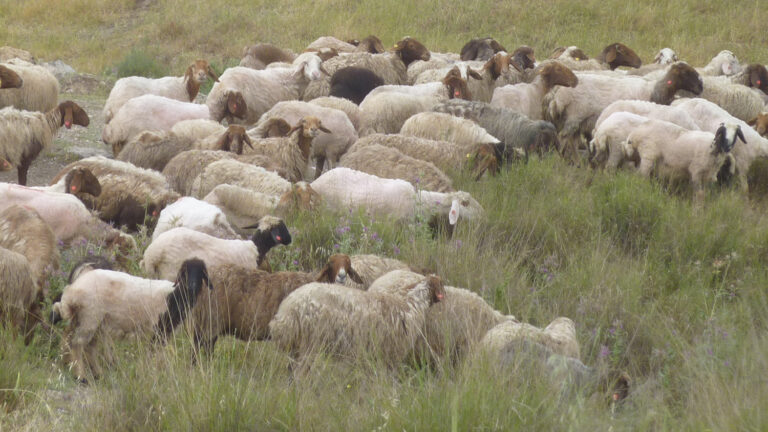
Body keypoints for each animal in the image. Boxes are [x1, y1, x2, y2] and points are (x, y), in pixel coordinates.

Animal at [51, 259, 211, 381]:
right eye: (184, 272)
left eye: (201, 273)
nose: (192, 286)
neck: (175, 295)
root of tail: (71, 290)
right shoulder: (158, 329)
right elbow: (155, 354)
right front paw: (154, 374)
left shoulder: (164, 332)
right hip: (89, 317)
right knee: (77, 344)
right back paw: (81, 376)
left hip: (89, 320)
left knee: (87, 345)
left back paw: (96, 373)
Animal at [543, 61, 703, 162]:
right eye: (687, 72)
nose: (700, 88)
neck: (655, 92)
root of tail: (558, 94)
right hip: (575, 116)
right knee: (563, 137)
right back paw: (561, 158)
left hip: (574, 120)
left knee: (571, 141)